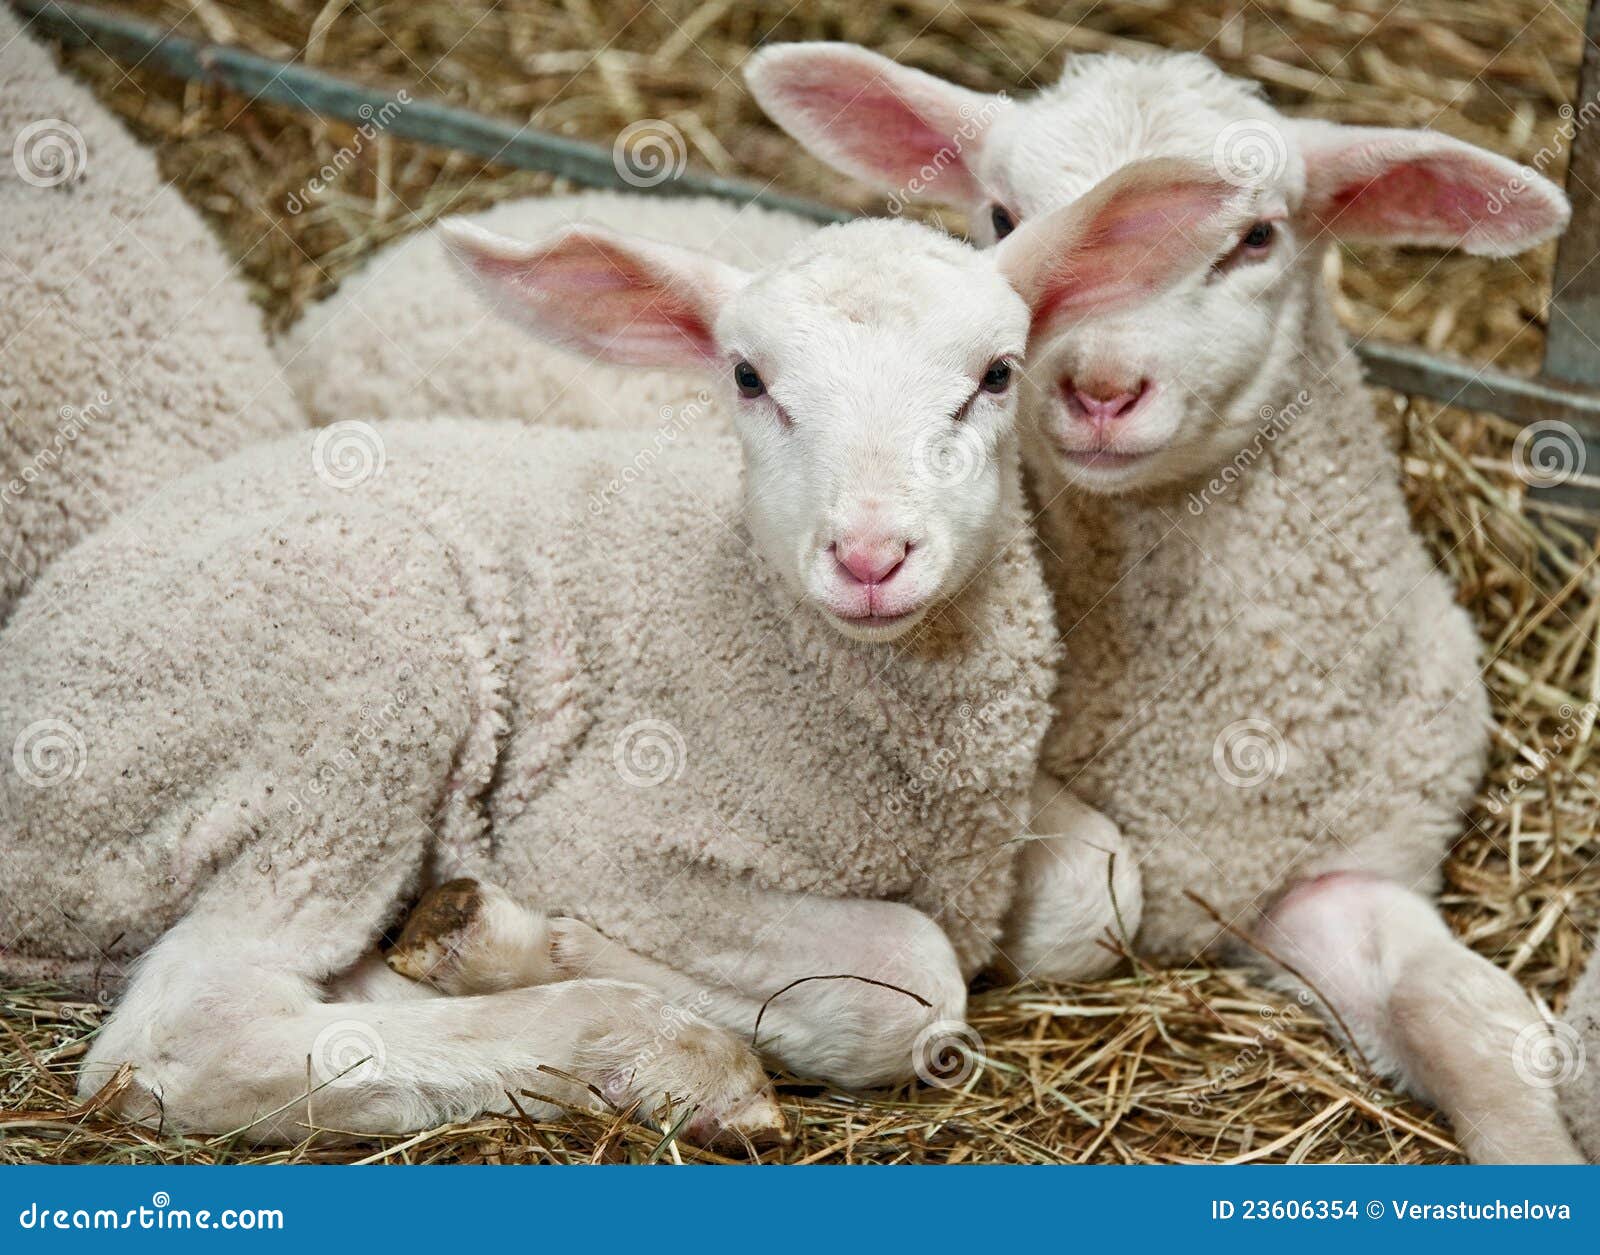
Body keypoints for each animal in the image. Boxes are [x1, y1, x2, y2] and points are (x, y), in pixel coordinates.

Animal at [3, 164, 1244, 1142]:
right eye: (747, 379)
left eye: (995, 374)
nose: (869, 554)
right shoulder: (609, 837)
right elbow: (910, 981)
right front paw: (536, 946)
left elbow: (1100, 889)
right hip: (341, 677)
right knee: (185, 1037)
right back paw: (637, 1047)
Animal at [745, 41, 1580, 1163]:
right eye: (1002, 216)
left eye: (1257, 236)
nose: (1097, 388)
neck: (1200, 718)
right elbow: (1097, 887)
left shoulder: (1346, 874)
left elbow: (1469, 1019)